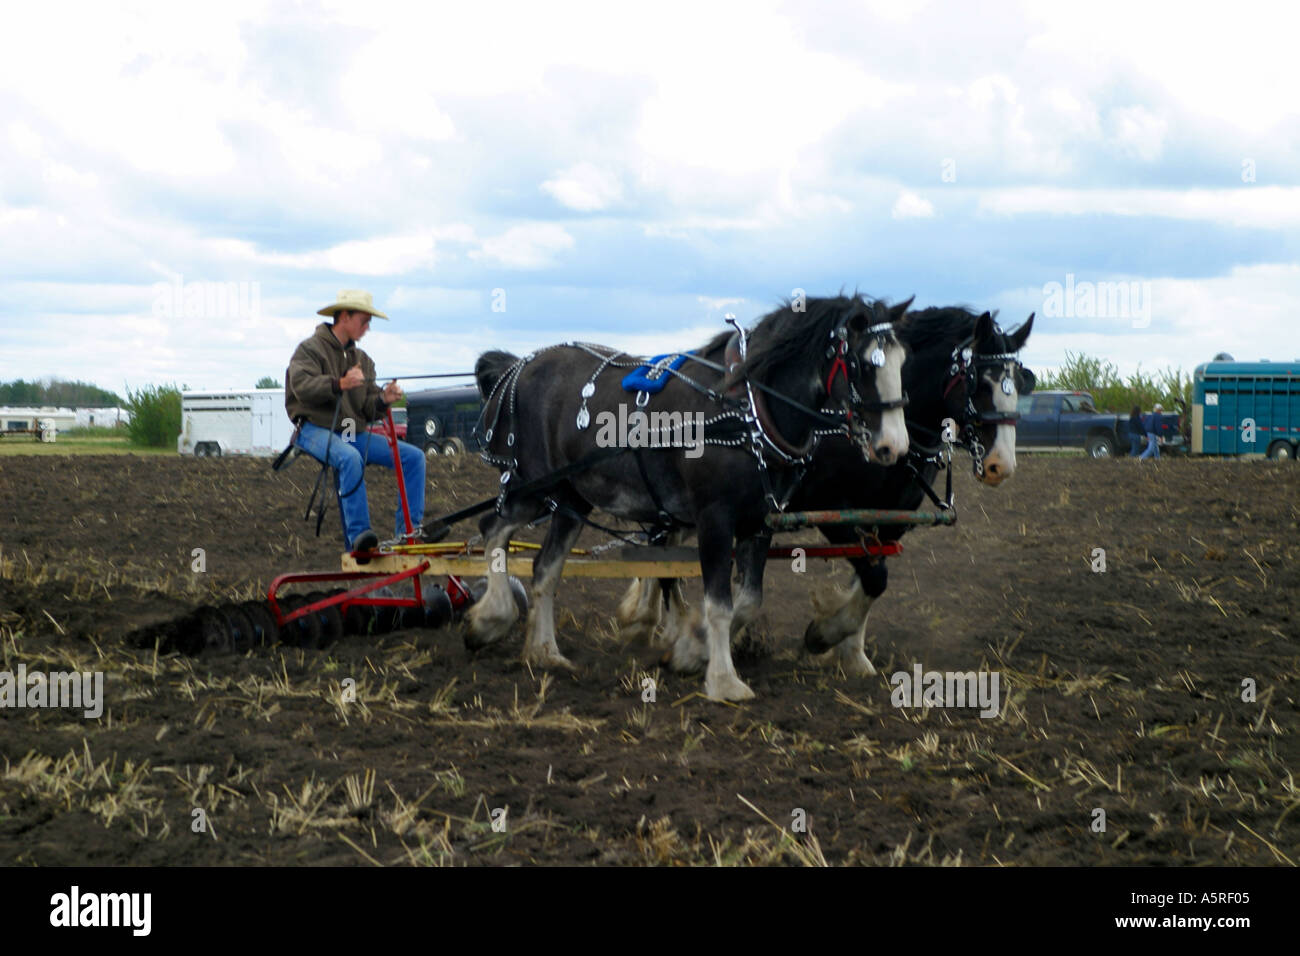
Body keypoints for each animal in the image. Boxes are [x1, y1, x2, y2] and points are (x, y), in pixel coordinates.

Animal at [458, 294, 912, 702]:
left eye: (902, 361)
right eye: (865, 364)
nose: (894, 446)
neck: (748, 411)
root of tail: (518, 366)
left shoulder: (759, 522)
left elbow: (747, 601)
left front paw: (690, 650)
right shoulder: (714, 518)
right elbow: (719, 605)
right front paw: (724, 681)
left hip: (571, 499)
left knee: (544, 569)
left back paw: (544, 652)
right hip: (531, 487)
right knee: (492, 527)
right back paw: (490, 619)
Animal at [620, 307, 1035, 677]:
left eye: (1018, 380)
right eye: (980, 381)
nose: (1001, 464)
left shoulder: (888, 521)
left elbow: (871, 580)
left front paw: (850, 651)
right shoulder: (832, 510)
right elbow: (872, 577)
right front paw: (823, 634)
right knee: (665, 557)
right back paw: (659, 626)